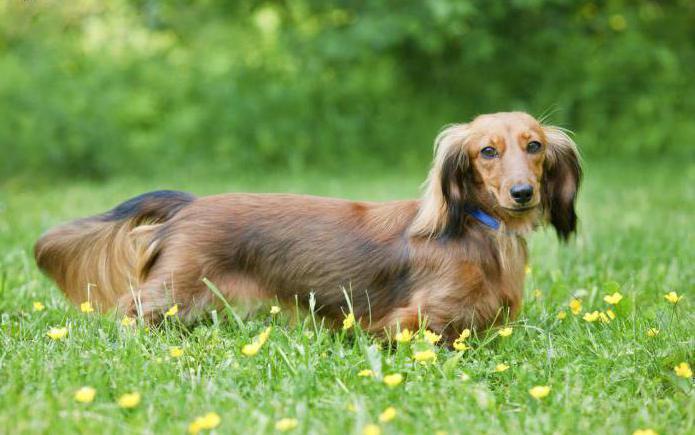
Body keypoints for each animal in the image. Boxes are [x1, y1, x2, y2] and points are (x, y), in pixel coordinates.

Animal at [36, 111, 580, 340]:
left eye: (533, 145)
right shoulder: (416, 317)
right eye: (487, 151)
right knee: (131, 310)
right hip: (175, 288)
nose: (522, 194)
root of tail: (189, 204)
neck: (477, 229)